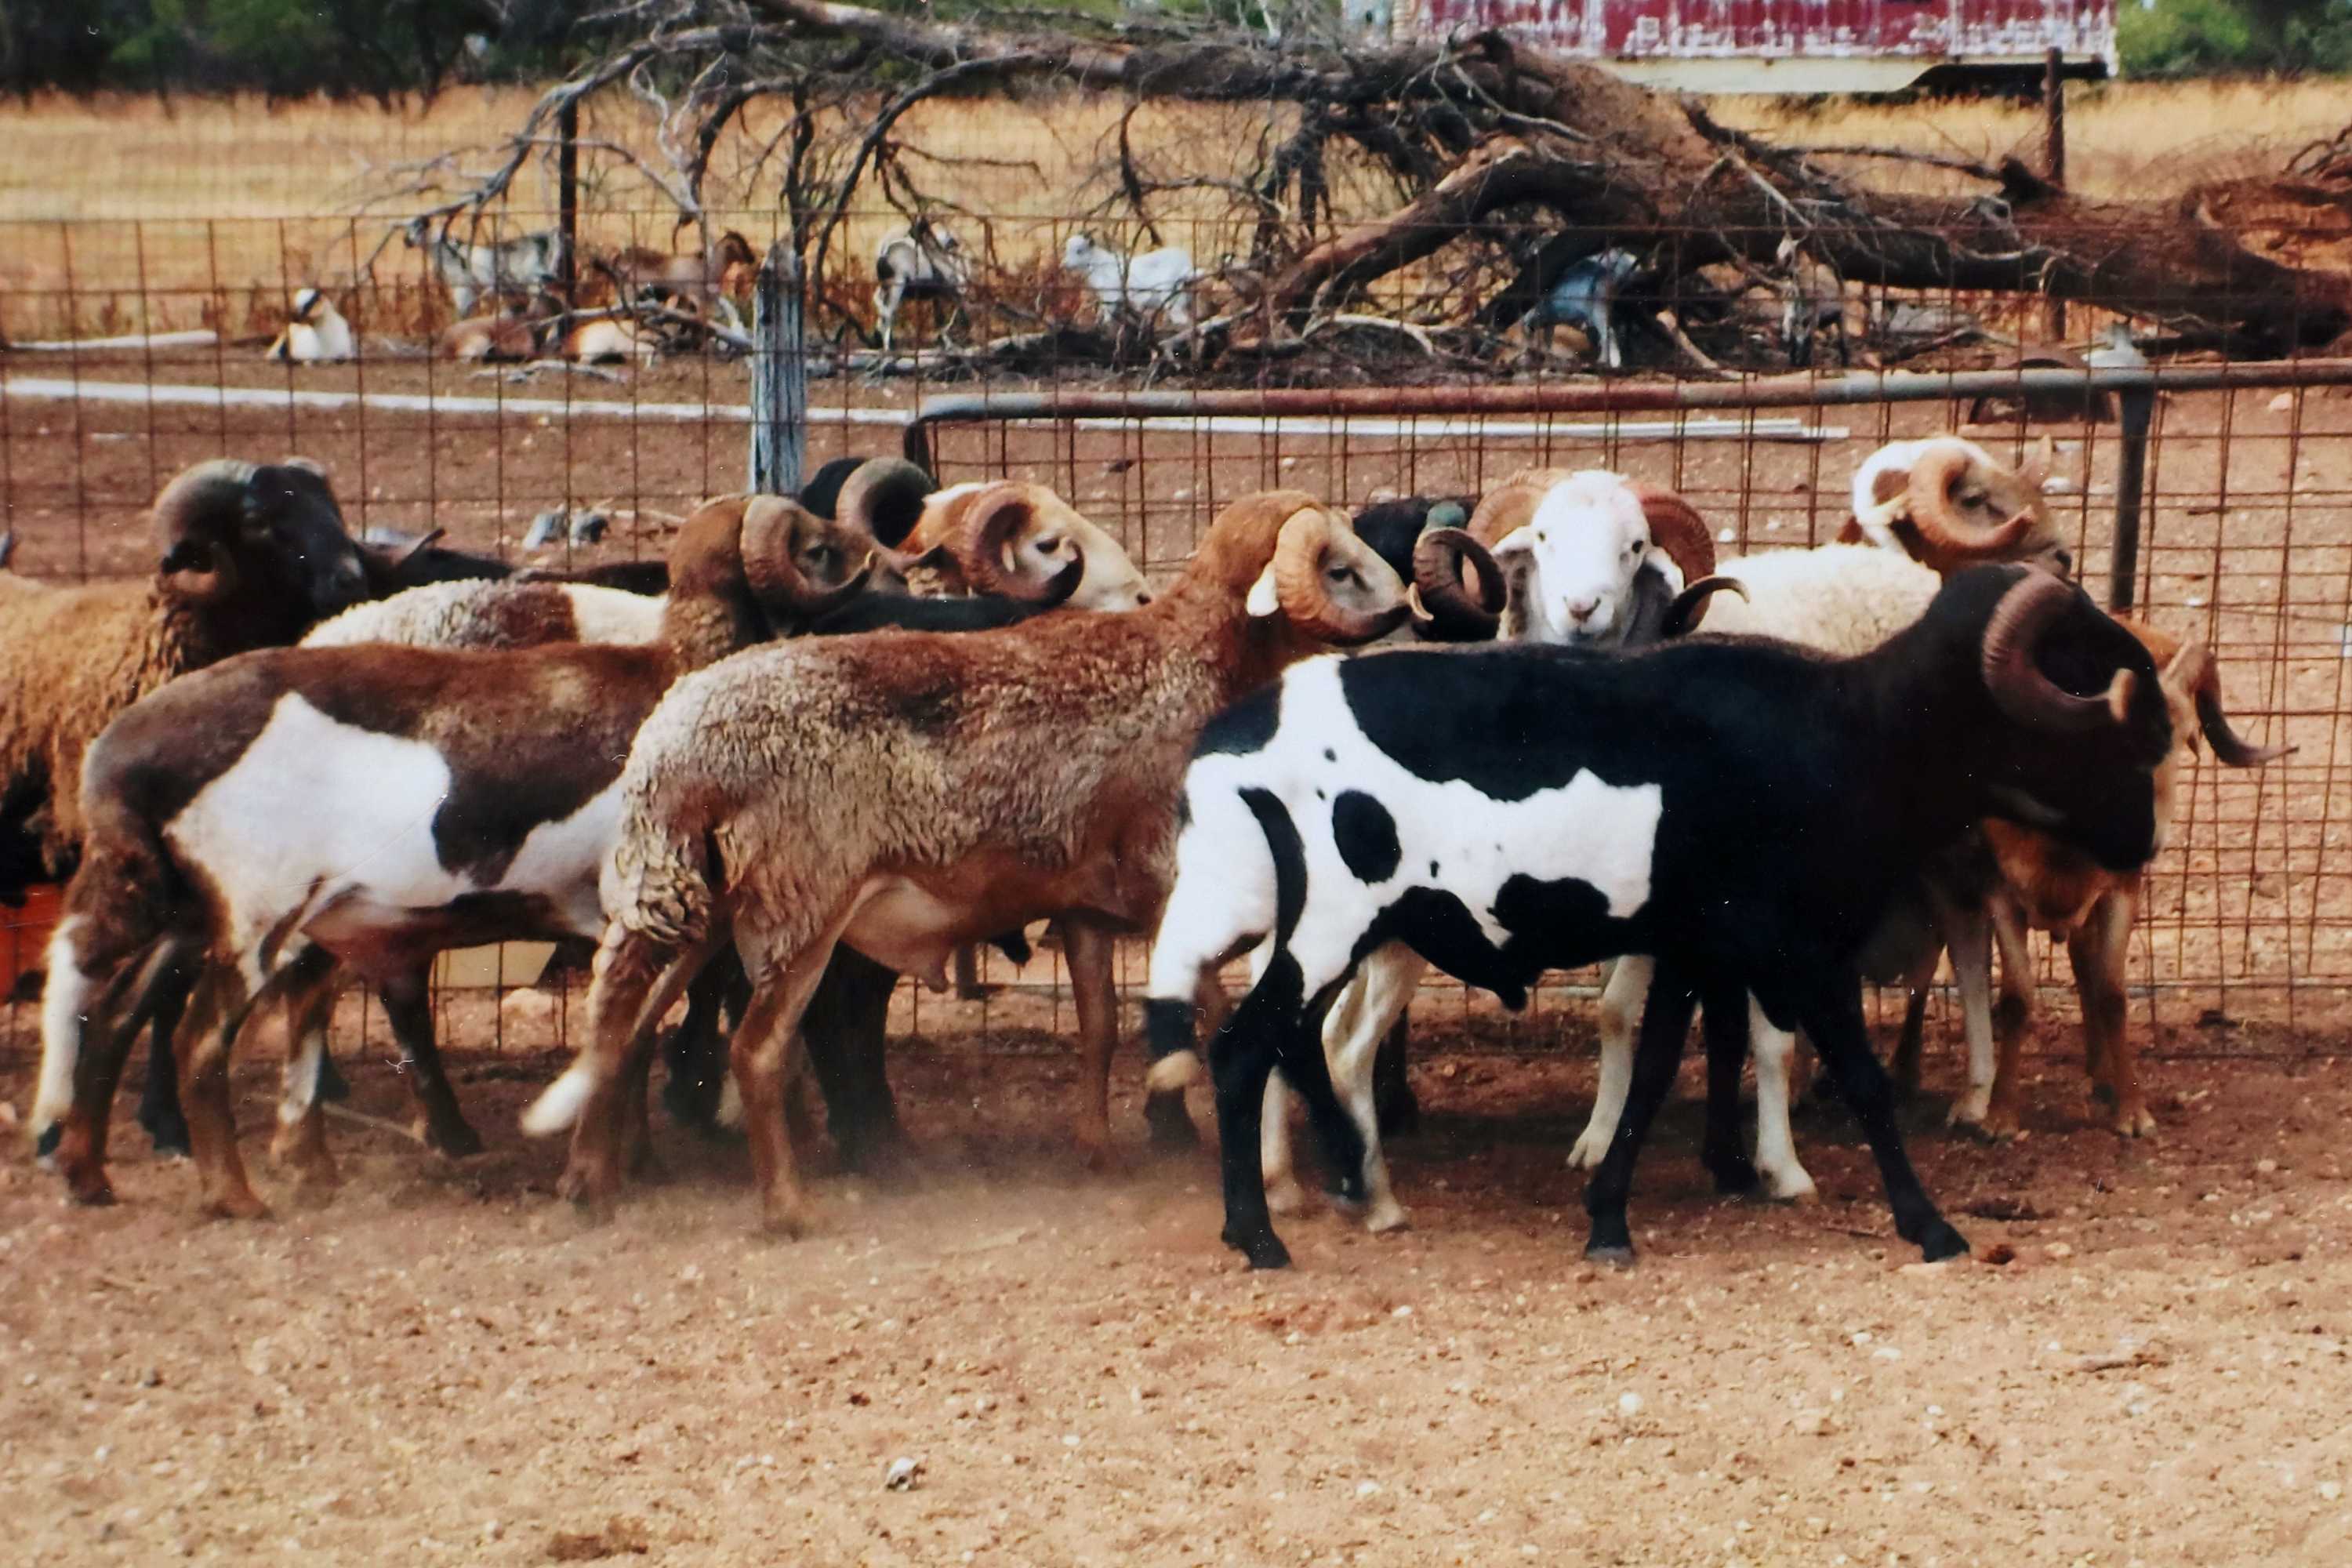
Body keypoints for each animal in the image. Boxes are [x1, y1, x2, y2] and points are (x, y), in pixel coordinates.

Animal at [28, 491, 878, 1213]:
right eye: (815, 547)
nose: (880, 562)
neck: (675, 677)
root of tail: (123, 750)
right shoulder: (632, 911)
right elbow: (626, 1040)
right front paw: (611, 1172)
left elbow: (630, 1042)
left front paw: (631, 1162)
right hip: (255, 915)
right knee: (196, 1040)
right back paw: (235, 1197)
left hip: (188, 909)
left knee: (113, 1012)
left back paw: (89, 1172)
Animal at [521, 491, 1417, 1232]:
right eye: (1338, 568)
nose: (1407, 608)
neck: (1196, 665)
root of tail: (676, 752)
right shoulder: (1170, 882)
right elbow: (1212, 1010)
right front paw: (1224, 1140)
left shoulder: (1085, 903)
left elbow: (1098, 1026)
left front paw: (1100, 1146)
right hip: (799, 907)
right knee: (755, 1050)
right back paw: (787, 1208)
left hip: (682, 900)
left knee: (619, 1021)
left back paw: (589, 1183)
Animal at [873, 219, 972, 355]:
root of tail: (884, 255)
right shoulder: (949, 291)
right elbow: (953, 312)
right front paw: (949, 343)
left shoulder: (940, 295)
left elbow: (941, 317)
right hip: (897, 288)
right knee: (888, 312)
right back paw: (888, 348)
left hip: (886, 288)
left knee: (880, 306)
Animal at [1060, 233, 1199, 332]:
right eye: (1066, 249)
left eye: (1079, 251)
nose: (1064, 265)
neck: (1099, 265)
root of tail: (1187, 267)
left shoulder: (1111, 295)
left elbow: (1107, 314)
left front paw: (1104, 326)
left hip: (1172, 298)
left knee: (1181, 320)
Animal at [1141, 566, 2173, 1268]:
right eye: (2083, 673)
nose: (2147, 831)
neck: (1853, 734)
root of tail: (1228, 743)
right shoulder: (1798, 946)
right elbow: (1862, 1078)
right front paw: (1930, 1224)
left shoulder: (1693, 943)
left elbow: (1657, 1068)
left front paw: (1611, 1215)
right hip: (1333, 922)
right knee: (1245, 1047)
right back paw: (1260, 1233)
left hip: (1349, 930)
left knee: (1302, 1047)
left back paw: (1361, 1190)